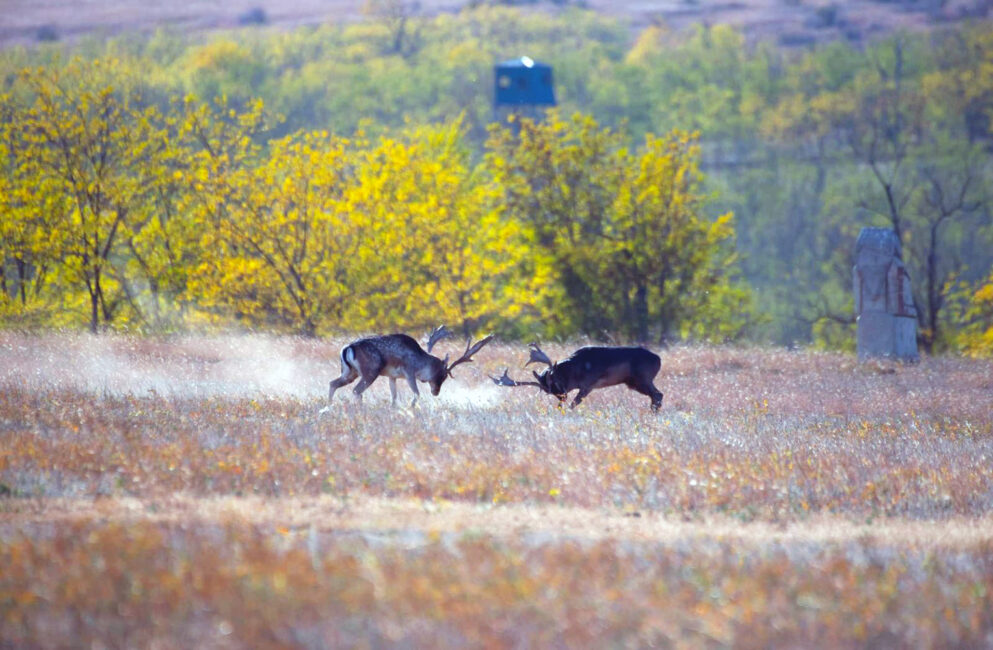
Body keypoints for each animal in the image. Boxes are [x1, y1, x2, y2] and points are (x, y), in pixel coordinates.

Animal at [328, 326, 493, 407]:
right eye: (443, 375)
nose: (436, 392)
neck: (421, 363)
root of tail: (347, 348)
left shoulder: (392, 376)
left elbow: (394, 397)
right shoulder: (409, 371)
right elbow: (417, 394)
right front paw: (411, 409)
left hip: (349, 372)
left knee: (333, 383)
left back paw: (329, 407)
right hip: (370, 371)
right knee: (356, 390)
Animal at [491, 343, 664, 412]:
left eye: (555, 381)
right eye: (548, 391)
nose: (562, 397)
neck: (574, 371)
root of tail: (658, 359)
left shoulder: (588, 385)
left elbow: (574, 404)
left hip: (643, 378)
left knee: (658, 394)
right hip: (633, 382)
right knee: (657, 395)